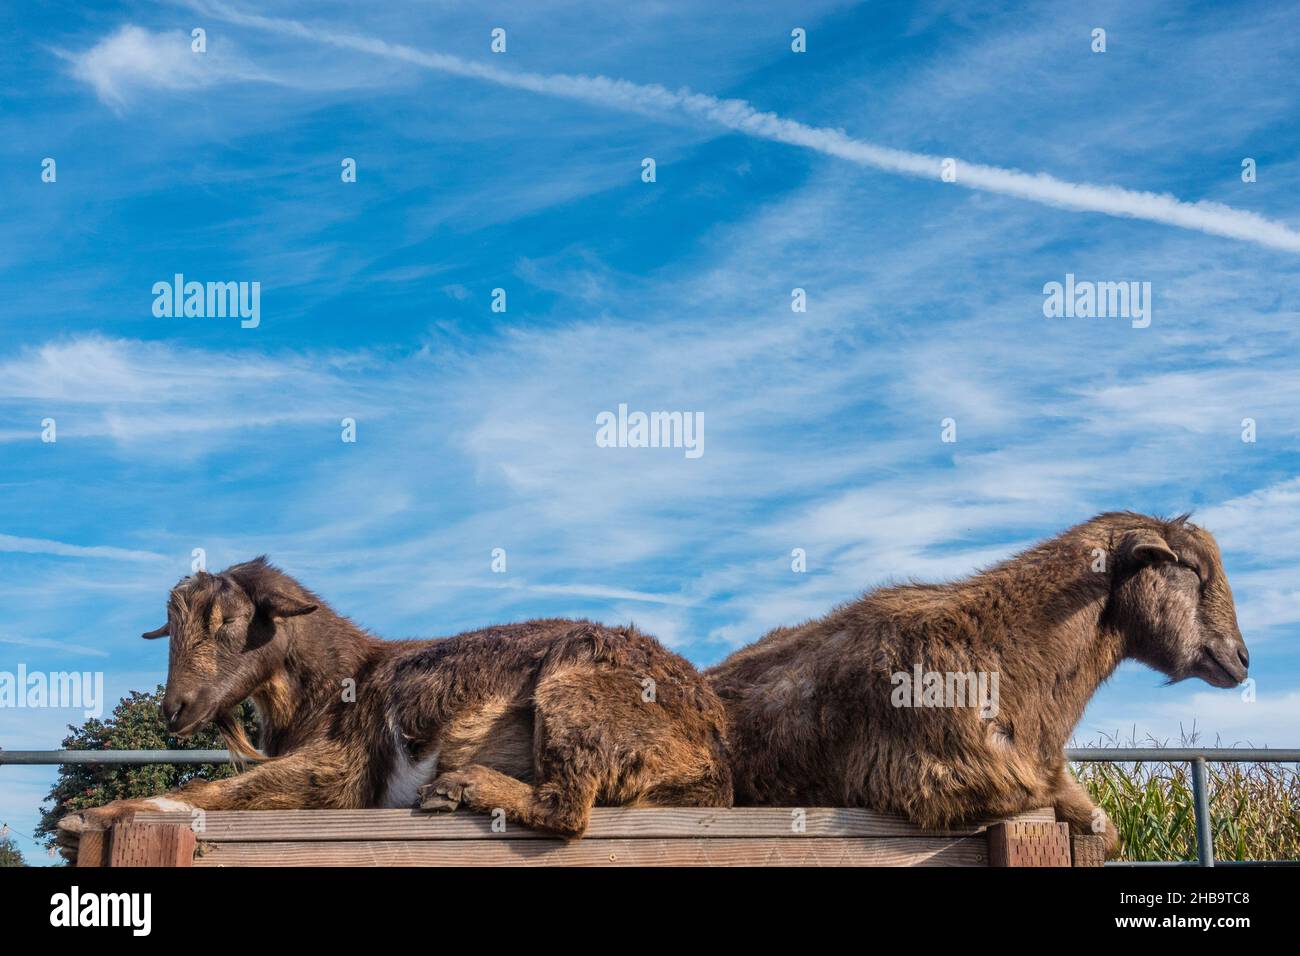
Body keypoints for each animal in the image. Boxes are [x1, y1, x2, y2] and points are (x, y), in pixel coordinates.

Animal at [58, 558, 732, 860]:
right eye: (169, 631)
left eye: (228, 622)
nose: (175, 710)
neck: (337, 682)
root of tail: (711, 755)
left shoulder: (342, 770)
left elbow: (213, 790)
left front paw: (92, 816)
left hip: (574, 684)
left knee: (567, 808)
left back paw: (462, 785)